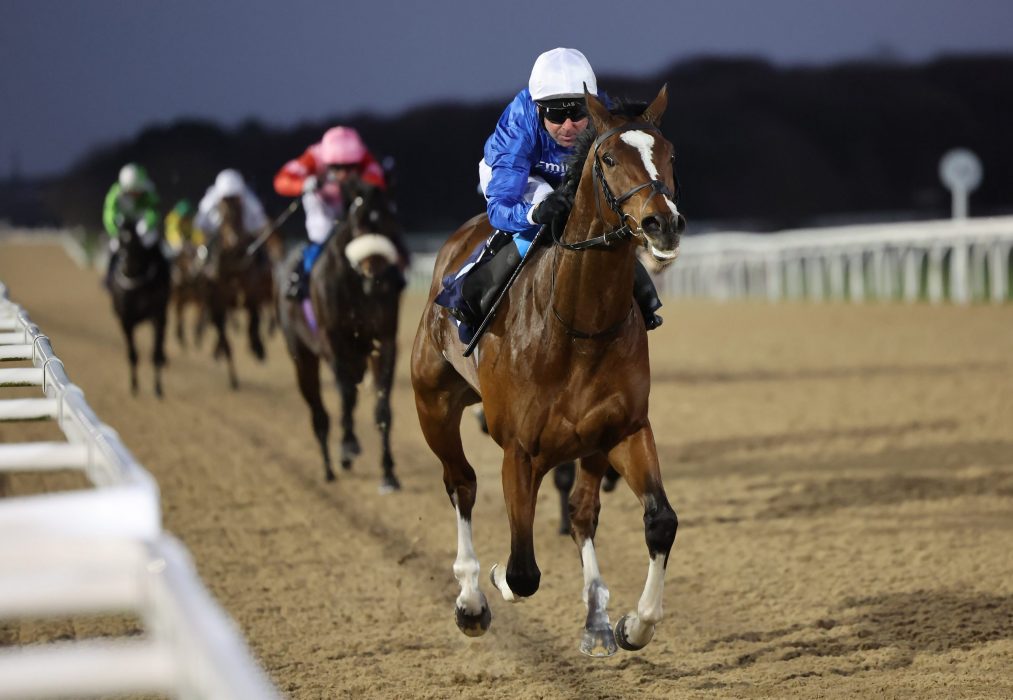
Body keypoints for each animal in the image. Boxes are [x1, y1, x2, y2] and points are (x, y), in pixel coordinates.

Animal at [107, 220, 172, 397]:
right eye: (119, 240)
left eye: (135, 242)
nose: (124, 260)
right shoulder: (126, 320)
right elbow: (132, 354)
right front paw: (134, 385)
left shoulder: (157, 315)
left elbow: (155, 353)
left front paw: (158, 388)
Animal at [202, 196, 275, 388]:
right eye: (222, 215)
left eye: (240, 214)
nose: (234, 241)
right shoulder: (217, 302)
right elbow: (224, 336)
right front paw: (233, 378)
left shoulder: (253, 295)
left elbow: (254, 322)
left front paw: (258, 348)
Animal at [278, 178, 407, 491]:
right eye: (357, 222)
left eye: (390, 218)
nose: (377, 276)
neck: (358, 287)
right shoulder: (333, 341)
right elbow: (346, 394)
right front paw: (348, 445)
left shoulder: (384, 341)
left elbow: (382, 407)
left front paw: (388, 472)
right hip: (303, 357)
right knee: (319, 411)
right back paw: (328, 466)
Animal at [411, 85, 685, 656]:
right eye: (608, 158)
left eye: (670, 154)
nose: (663, 223)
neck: (578, 327)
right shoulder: (519, 451)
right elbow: (521, 572)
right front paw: (492, 582)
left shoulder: (624, 429)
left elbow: (660, 521)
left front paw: (633, 623)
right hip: (433, 403)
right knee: (460, 483)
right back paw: (471, 599)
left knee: (581, 512)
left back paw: (596, 618)